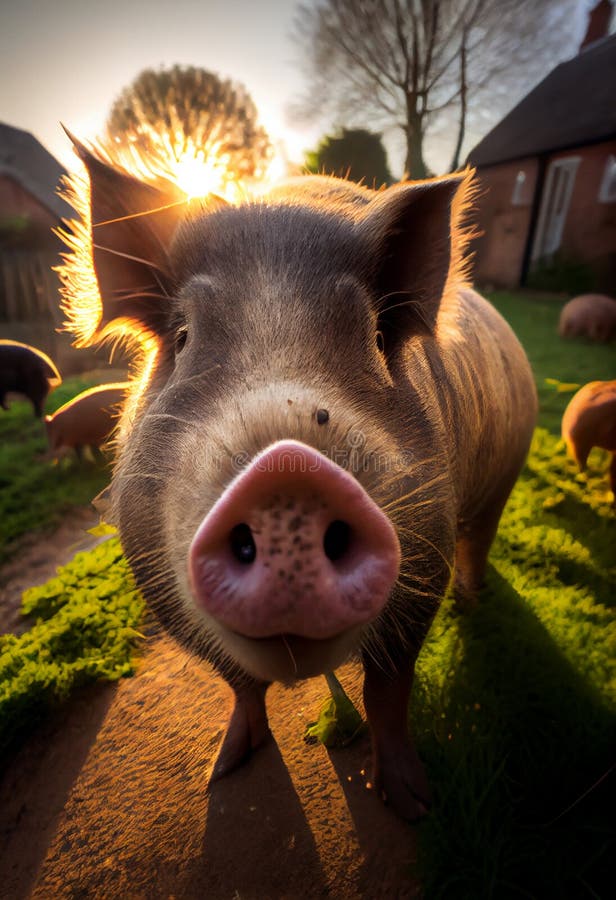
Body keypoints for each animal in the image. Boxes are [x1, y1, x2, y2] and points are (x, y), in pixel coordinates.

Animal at [68, 141, 537, 821]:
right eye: (182, 336)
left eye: (375, 335)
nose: (284, 471)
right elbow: (241, 686)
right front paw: (219, 770)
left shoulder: (426, 565)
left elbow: (388, 692)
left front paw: (413, 805)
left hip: (499, 486)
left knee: (481, 540)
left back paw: (474, 604)